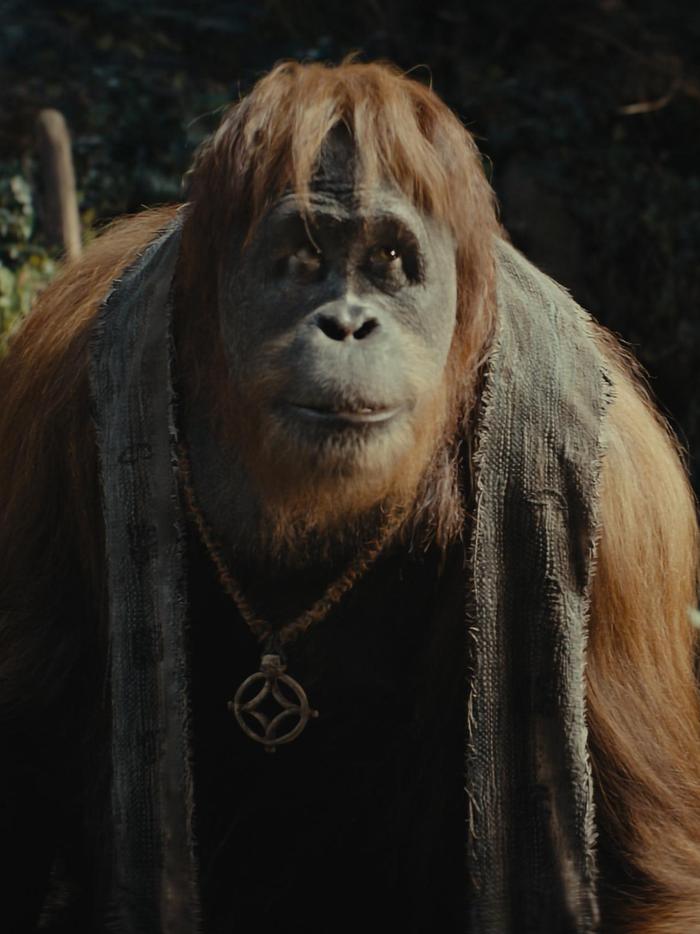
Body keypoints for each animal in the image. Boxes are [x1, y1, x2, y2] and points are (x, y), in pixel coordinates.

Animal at [0, 60, 698, 934]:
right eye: (304, 258)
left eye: (391, 261)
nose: (348, 323)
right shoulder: (52, 393)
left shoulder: (628, 508)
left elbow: (653, 873)